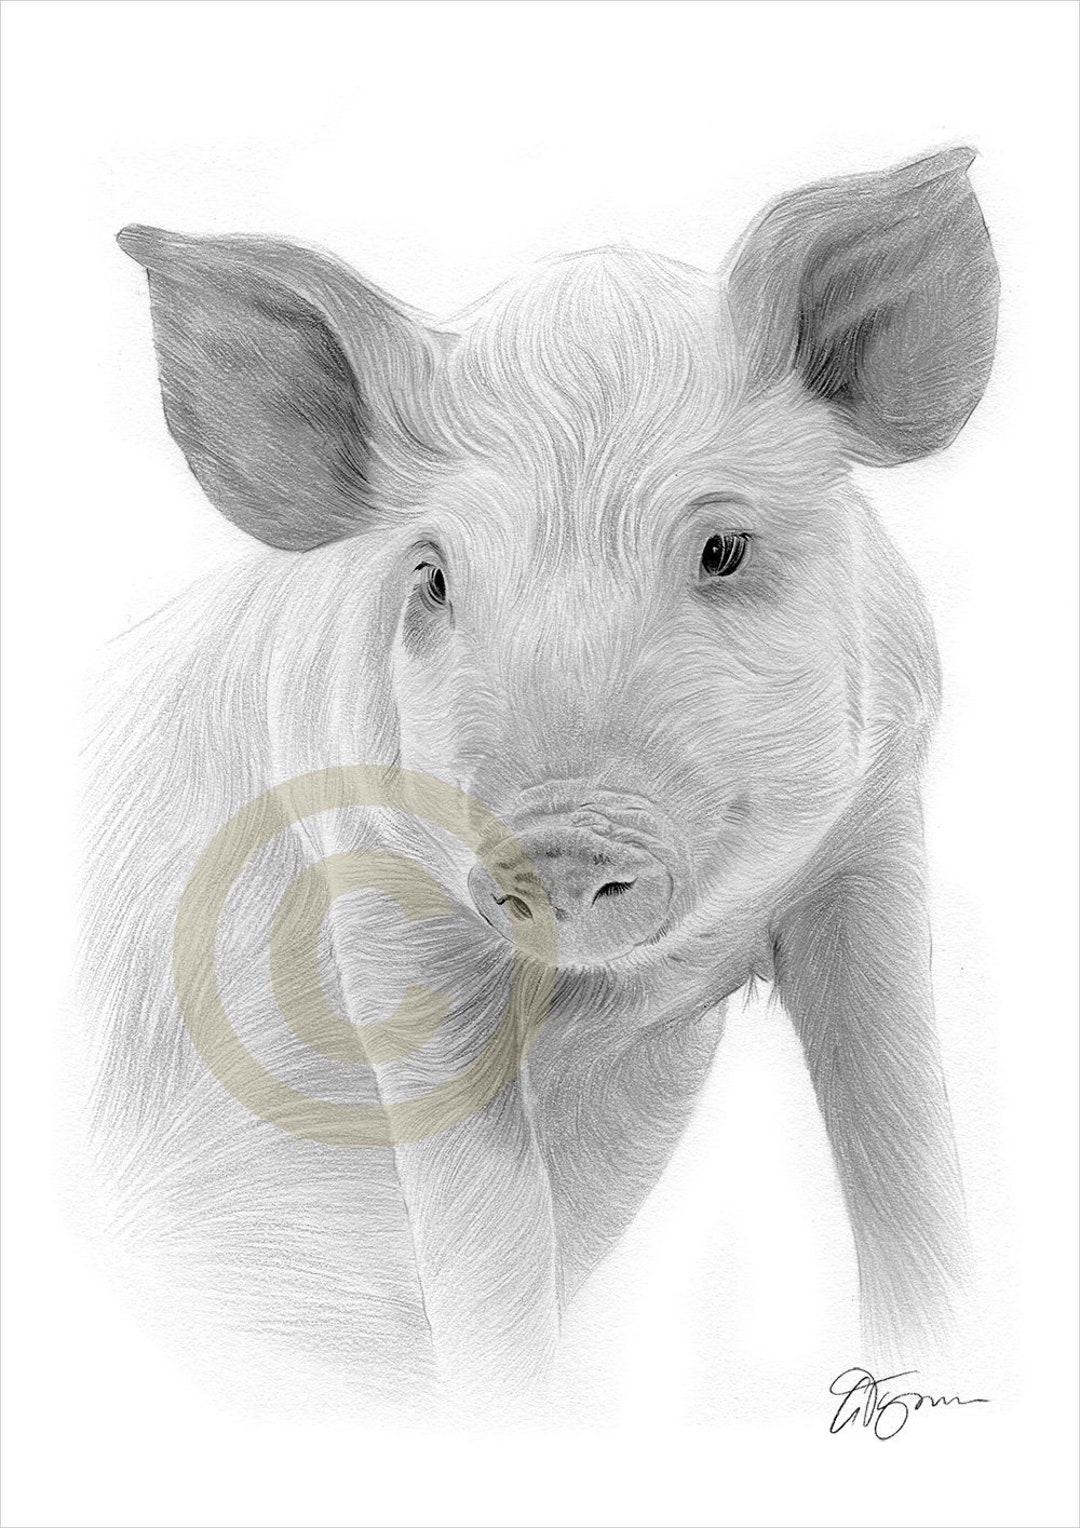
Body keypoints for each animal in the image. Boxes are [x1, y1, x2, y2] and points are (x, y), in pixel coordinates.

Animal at [85, 147, 998, 1407]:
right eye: (431, 577)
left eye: (724, 548)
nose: (559, 839)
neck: (628, 992)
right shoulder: (383, 913)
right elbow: (489, 1249)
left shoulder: (872, 841)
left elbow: (903, 1127)